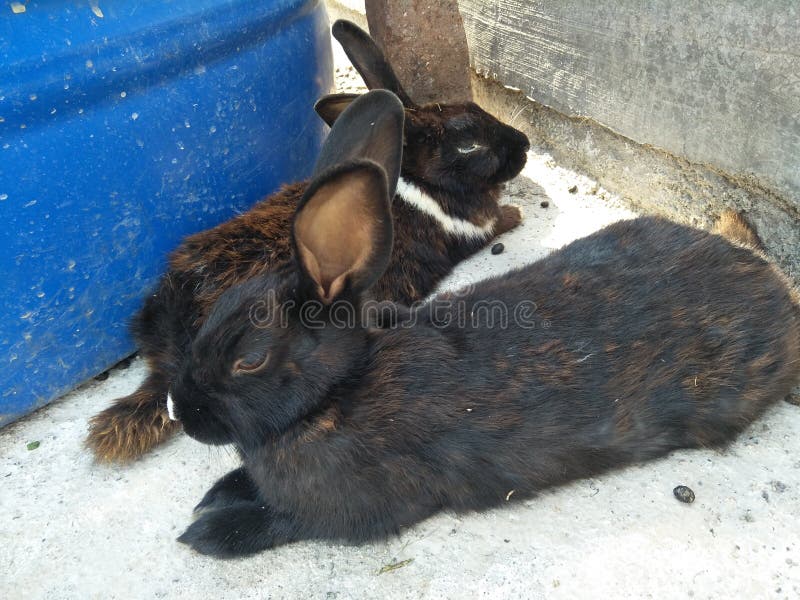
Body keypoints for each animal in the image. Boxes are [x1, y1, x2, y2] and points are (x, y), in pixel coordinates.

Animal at [168, 96, 800, 558]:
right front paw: (215, 495)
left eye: (249, 358)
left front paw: (207, 532)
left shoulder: (355, 507)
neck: (335, 393)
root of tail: (763, 276)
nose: (178, 409)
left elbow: (284, 522)